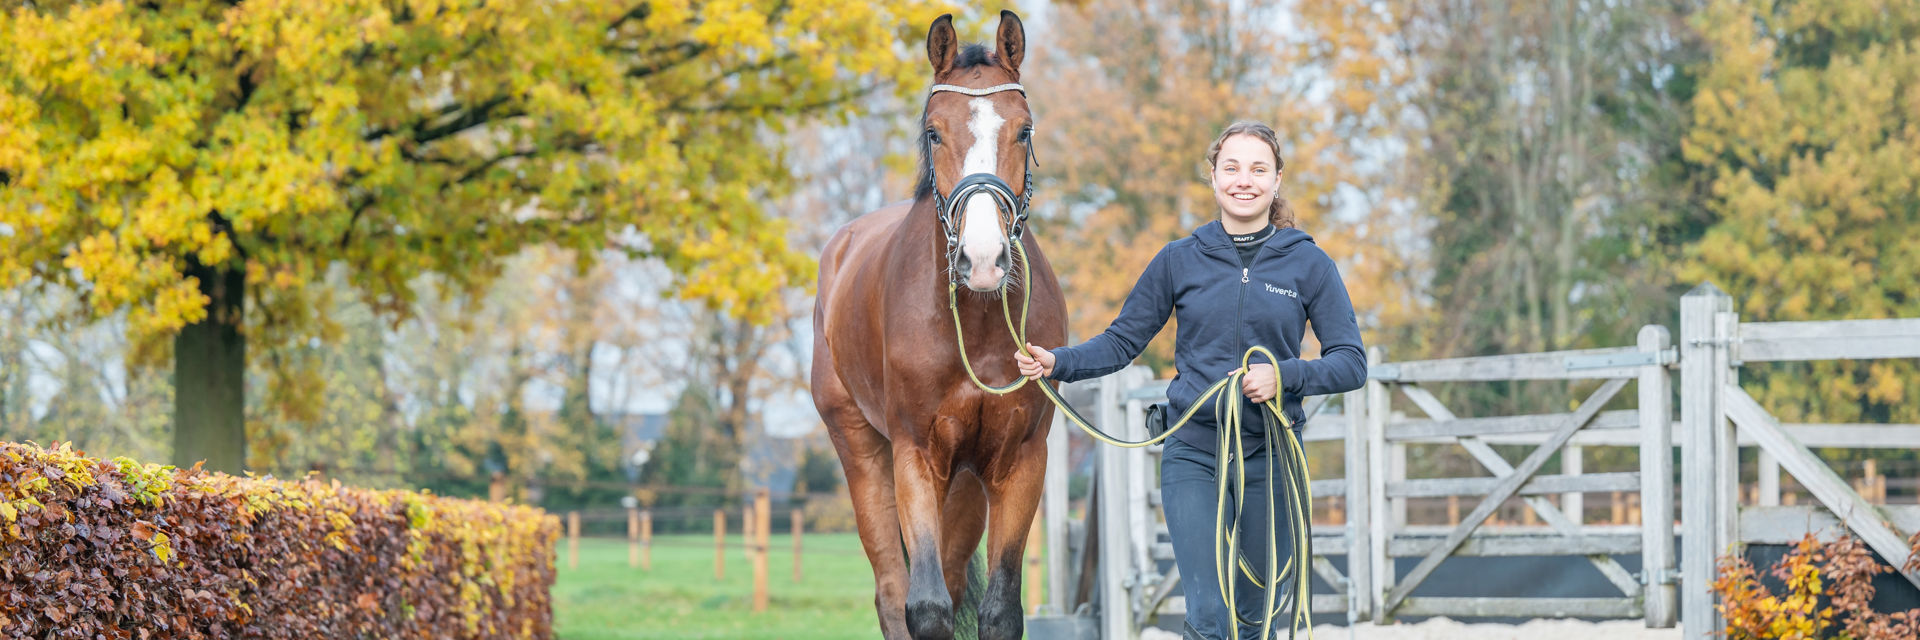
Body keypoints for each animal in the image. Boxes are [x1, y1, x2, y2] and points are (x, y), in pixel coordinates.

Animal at [809, 10, 1066, 640]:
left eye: (1023, 131)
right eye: (933, 133)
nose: (983, 259)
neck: (974, 324)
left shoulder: (1021, 460)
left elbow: (998, 611)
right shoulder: (916, 458)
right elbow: (924, 608)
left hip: (966, 481)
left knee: (949, 577)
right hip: (862, 452)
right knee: (892, 590)